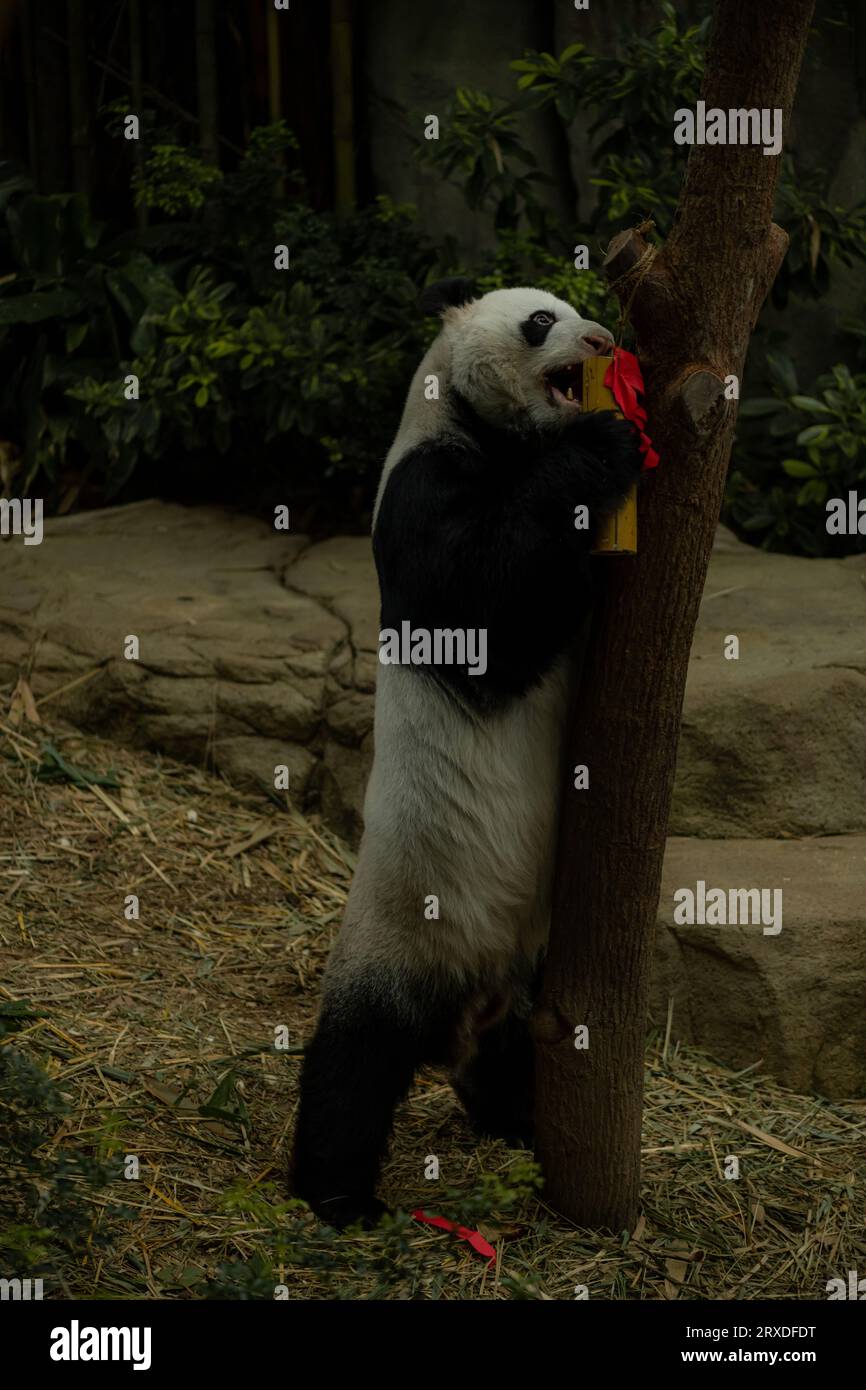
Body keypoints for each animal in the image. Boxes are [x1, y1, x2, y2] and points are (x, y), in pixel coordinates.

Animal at [291, 278, 643, 1228]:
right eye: (541, 321)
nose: (601, 339)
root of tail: (465, 1002)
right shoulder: (421, 486)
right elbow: (483, 608)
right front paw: (606, 448)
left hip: (527, 962)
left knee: (515, 1046)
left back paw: (514, 1117)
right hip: (405, 926)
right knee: (353, 1063)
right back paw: (336, 1195)